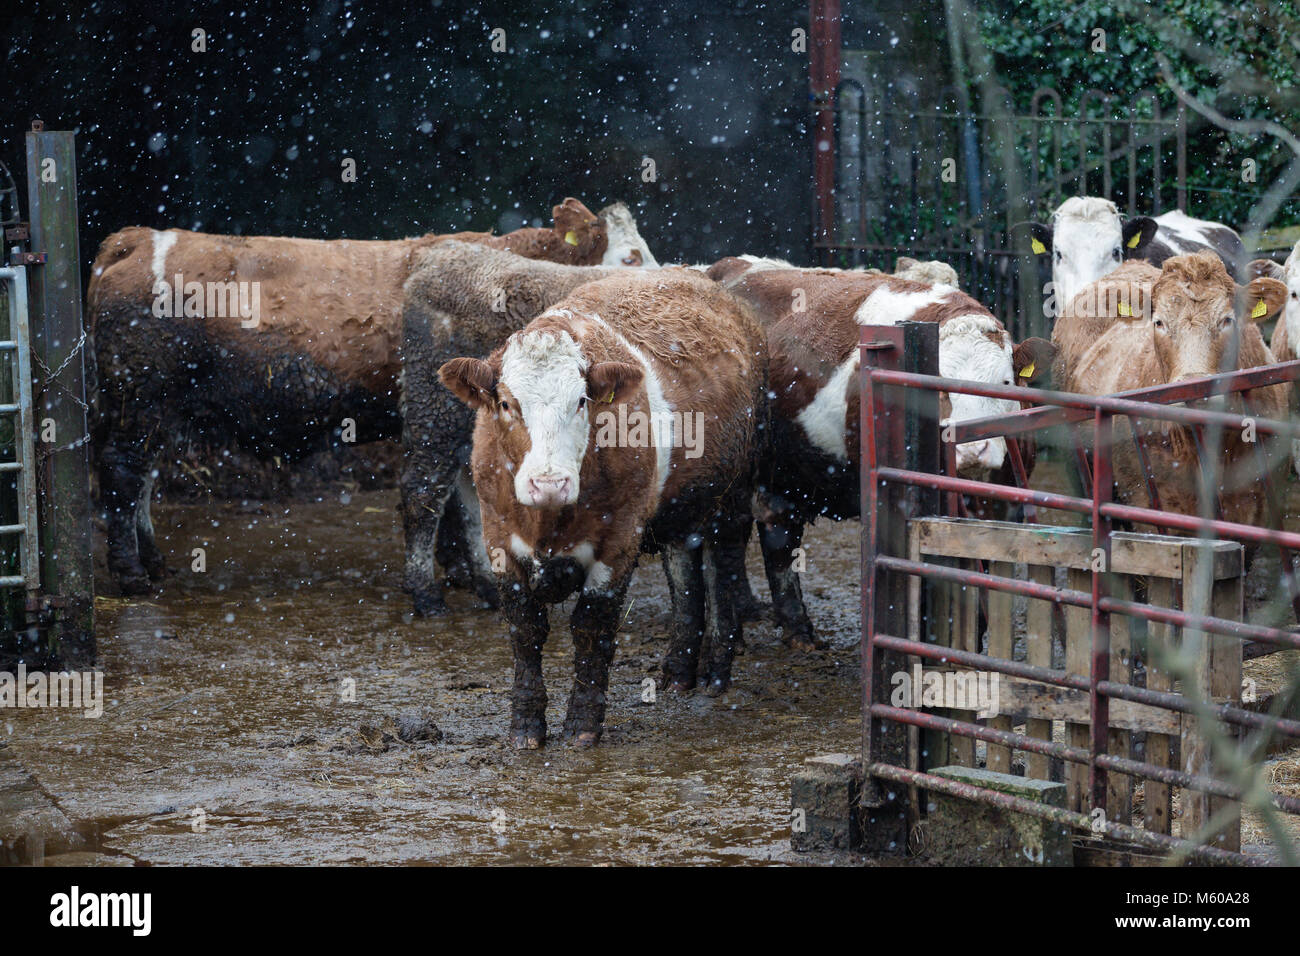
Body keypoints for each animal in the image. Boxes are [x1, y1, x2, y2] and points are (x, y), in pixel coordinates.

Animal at [89, 198, 641, 593]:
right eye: (630, 256)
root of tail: (134, 238)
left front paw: (462, 571)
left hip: (153, 407)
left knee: (140, 480)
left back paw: (153, 561)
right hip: (142, 398)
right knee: (121, 472)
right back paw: (131, 574)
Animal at [436, 270, 767, 748]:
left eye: (581, 401)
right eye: (506, 403)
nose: (549, 483)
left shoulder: (619, 541)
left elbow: (592, 626)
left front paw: (582, 725)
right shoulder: (498, 537)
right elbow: (524, 628)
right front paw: (526, 726)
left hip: (734, 497)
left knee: (723, 568)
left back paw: (716, 673)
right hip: (682, 509)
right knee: (685, 575)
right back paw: (678, 672)